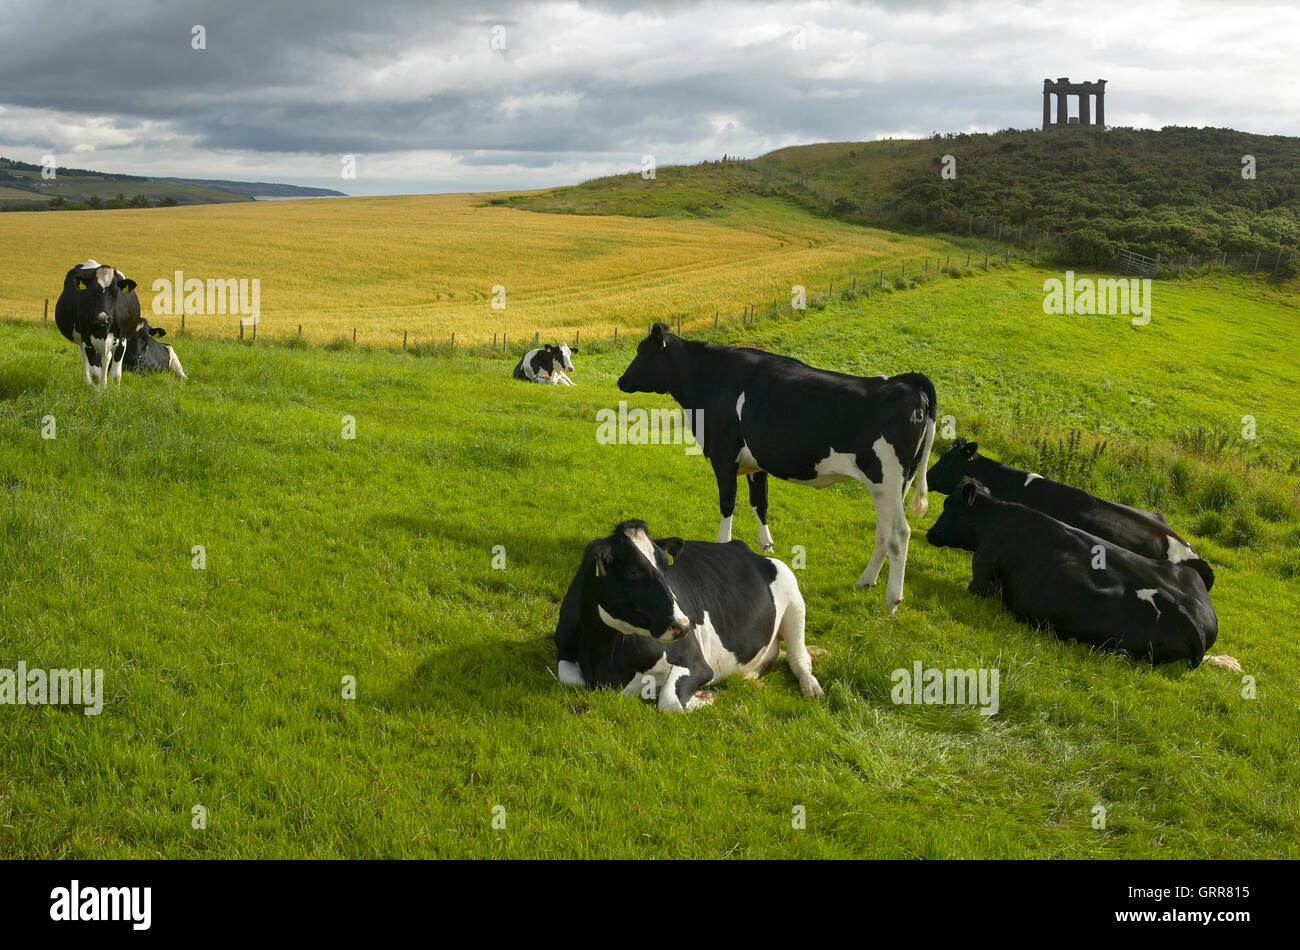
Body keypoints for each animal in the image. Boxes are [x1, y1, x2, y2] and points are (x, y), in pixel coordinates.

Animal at [553, 520, 823, 711]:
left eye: (665, 566)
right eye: (632, 571)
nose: (683, 626)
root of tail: (743, 547)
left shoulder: (697, 663)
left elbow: (670, 701)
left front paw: (706, 697)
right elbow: (568, 675)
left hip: (793, 594)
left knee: (799, 657)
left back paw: (811, 688)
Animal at [617, 322, 936, 613]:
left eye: (641, 352)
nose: (621, 381)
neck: (708, 381)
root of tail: (907, 380)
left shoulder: (723, 457)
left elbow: (727, 503)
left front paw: (723, 545)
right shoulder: (756, 463)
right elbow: (760, 503)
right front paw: (766, 545)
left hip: (886, 478)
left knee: (899, 533)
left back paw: (892, 600)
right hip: (896, 484)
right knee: (884, 531)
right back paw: (866, 581)